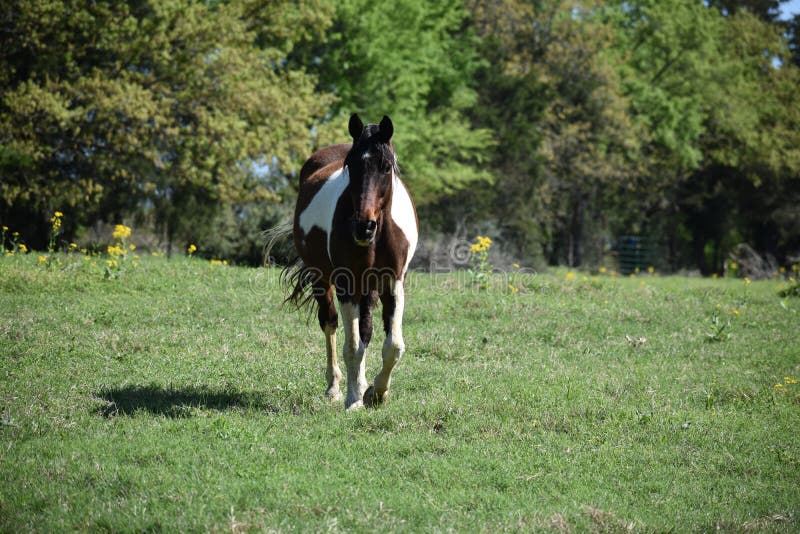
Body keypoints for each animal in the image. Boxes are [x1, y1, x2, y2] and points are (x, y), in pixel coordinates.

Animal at [285, 114, 418, 410]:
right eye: (352, 166)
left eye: (385, 166)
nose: (363, 227)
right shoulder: (347, 284)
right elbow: (352, 346)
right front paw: (354, 398)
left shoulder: (393, 283)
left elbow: (393, 346)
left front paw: (376, 393)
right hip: (322, 279)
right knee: (330, 324)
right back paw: (335, 387)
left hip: (368, 288)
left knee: (365, 332)